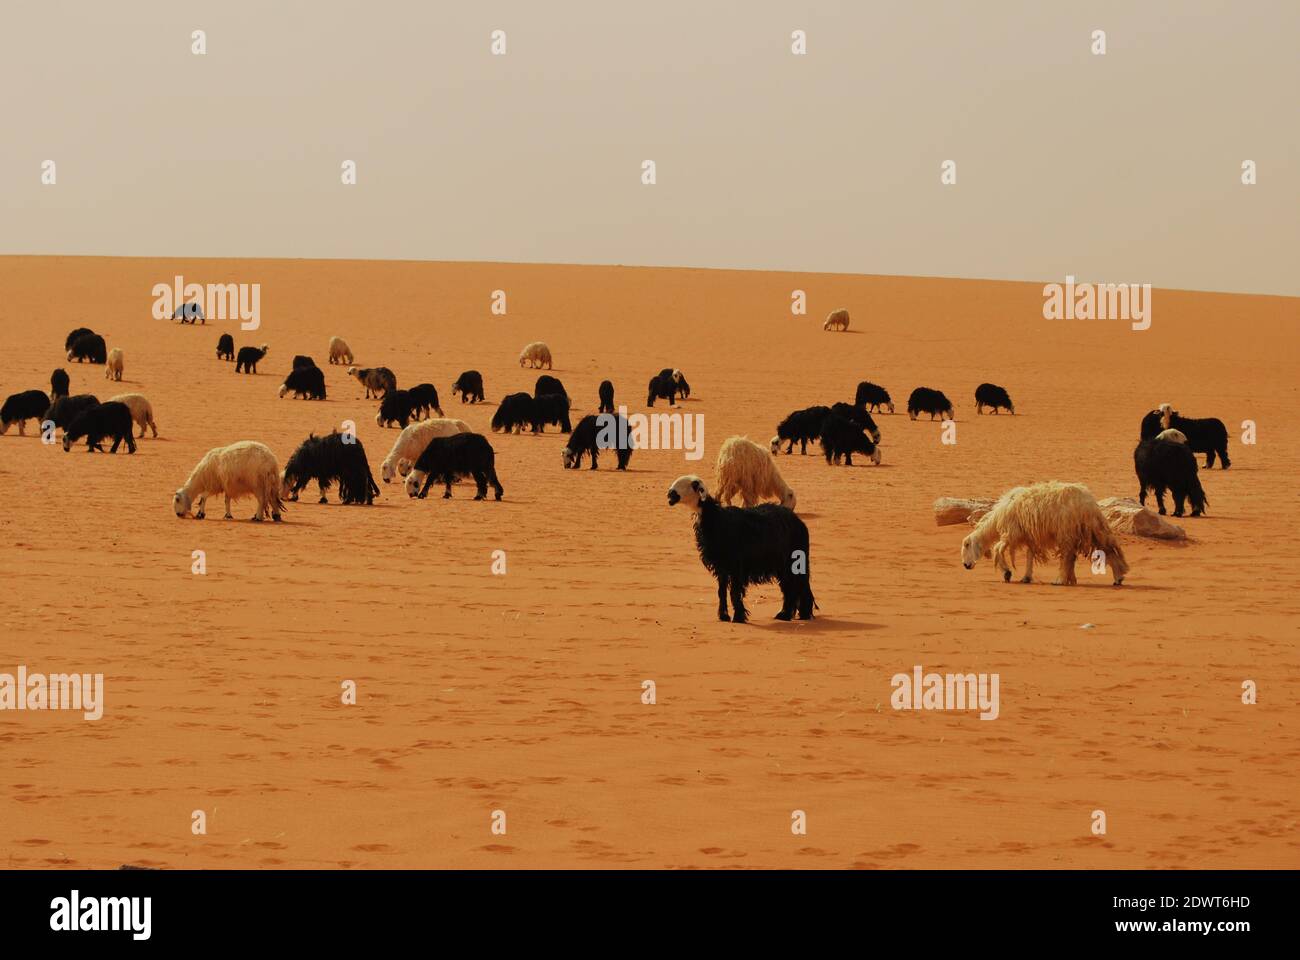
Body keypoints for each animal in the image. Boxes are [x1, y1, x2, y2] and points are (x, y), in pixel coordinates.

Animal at [667, 474, 815, 623]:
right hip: (783, 564)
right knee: (789, 587)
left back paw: (796, 614)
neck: (716, 518)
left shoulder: (736, 565)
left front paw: (738, 616)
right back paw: (786, 614)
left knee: (798, 585)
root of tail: (799, 522)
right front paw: (724, 616)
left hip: (794, 559)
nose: (669, 494)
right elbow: (721, 591)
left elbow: (734, 591)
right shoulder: (721, 566)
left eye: (690, 484)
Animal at [960, 481, 1128, 586]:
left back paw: (1060, 580)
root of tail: (1089, 504)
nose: (966, 565)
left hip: (1067, 531)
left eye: (967, 545)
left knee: (1068, 556)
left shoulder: (1011, 533)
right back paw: (1118, 577)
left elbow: (997, 549)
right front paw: (1026, 577)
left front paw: (1007, 573)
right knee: (1107, 548)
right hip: (1093, 529)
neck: (997, 519)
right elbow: (1029, 555)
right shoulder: (1029, 536)